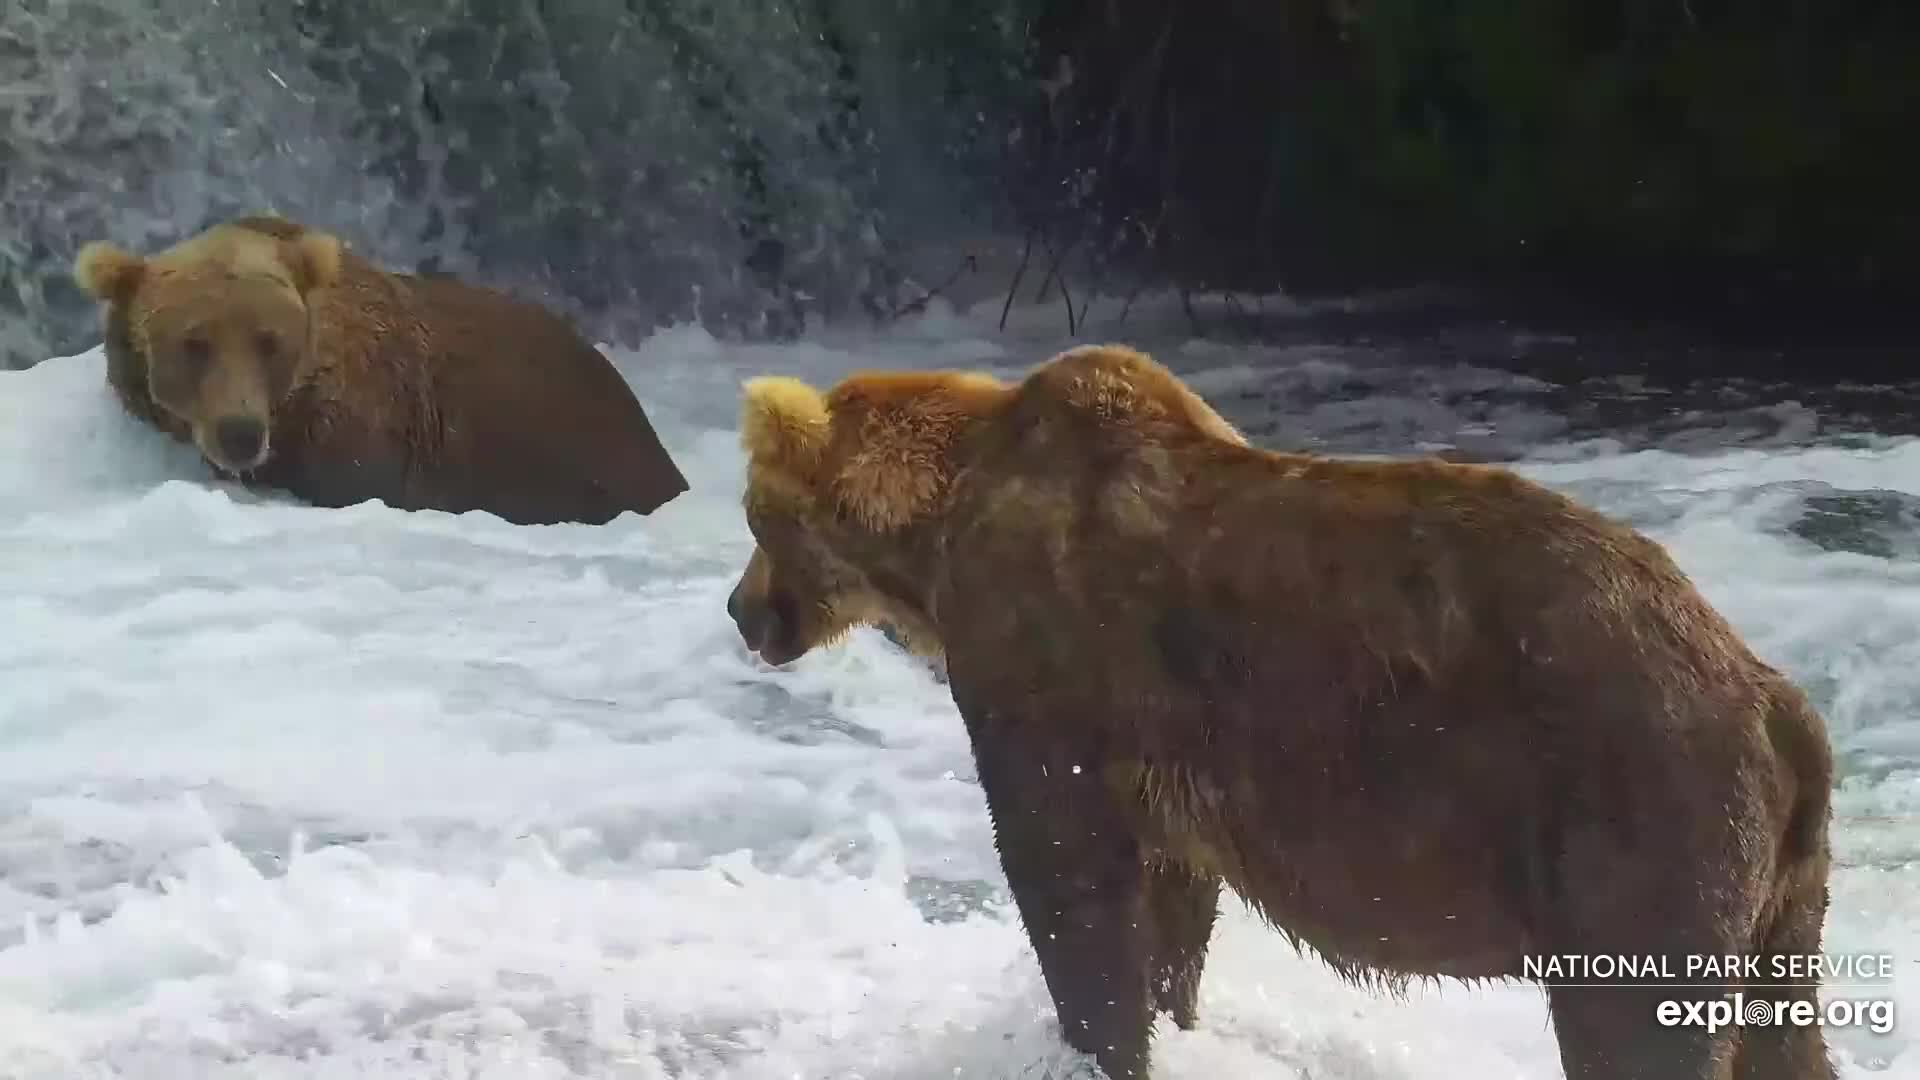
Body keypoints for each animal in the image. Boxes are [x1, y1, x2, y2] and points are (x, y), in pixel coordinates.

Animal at [723, 344, 1837, 1080]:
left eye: (752, 516)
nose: (741, 610)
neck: (933, 535)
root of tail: (1774, 696)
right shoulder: (1161, 766)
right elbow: (1170, 913)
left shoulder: (1042, 672)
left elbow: (1068, 887)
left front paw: (1094, 1038)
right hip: (1776, 892)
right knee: (1783, 1032)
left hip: (1633, 815)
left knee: (1634, 1023)